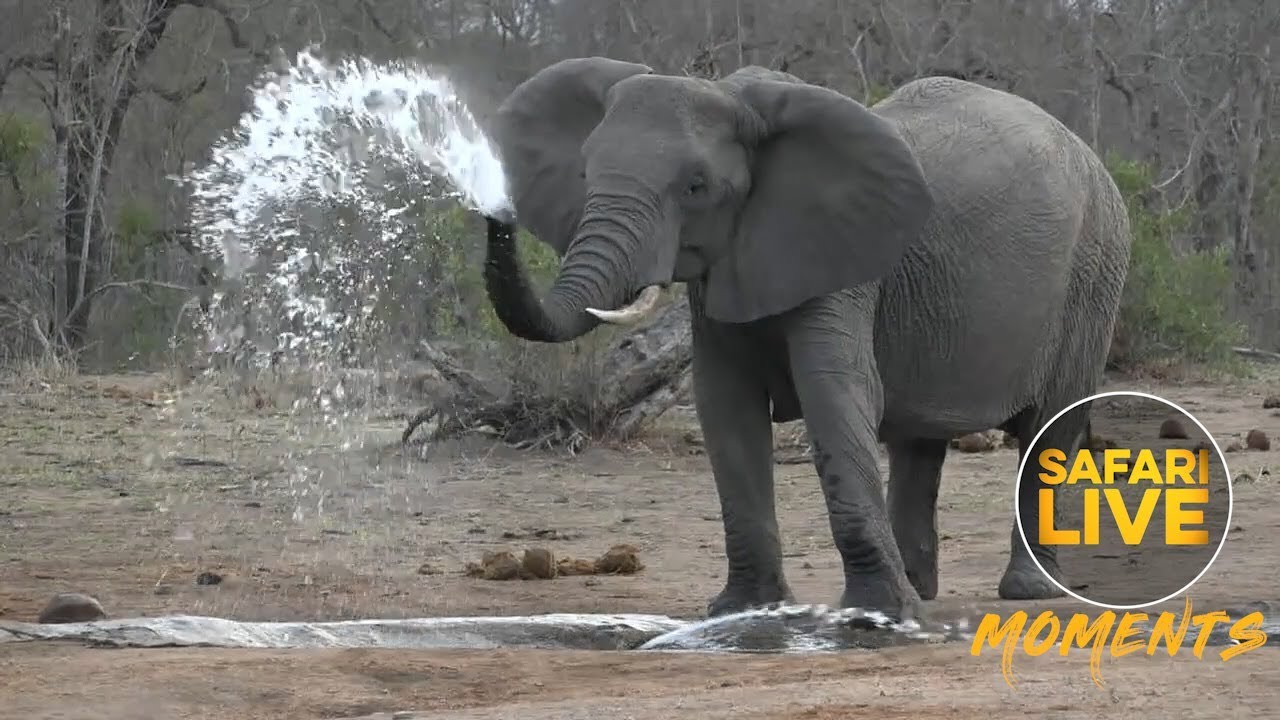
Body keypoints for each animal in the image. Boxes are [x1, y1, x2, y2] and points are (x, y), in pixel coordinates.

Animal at [476, 57, 1132, 620]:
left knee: (1049, 427)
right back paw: (920, 587)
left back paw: (1026, 592)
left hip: (1094, 271)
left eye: (695, 186)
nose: (491, 209)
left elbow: (834, 394)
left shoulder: (844, 261)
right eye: (585, 172)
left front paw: (877, 614)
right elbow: (725, 407)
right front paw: (741, 610)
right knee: (919, 443)